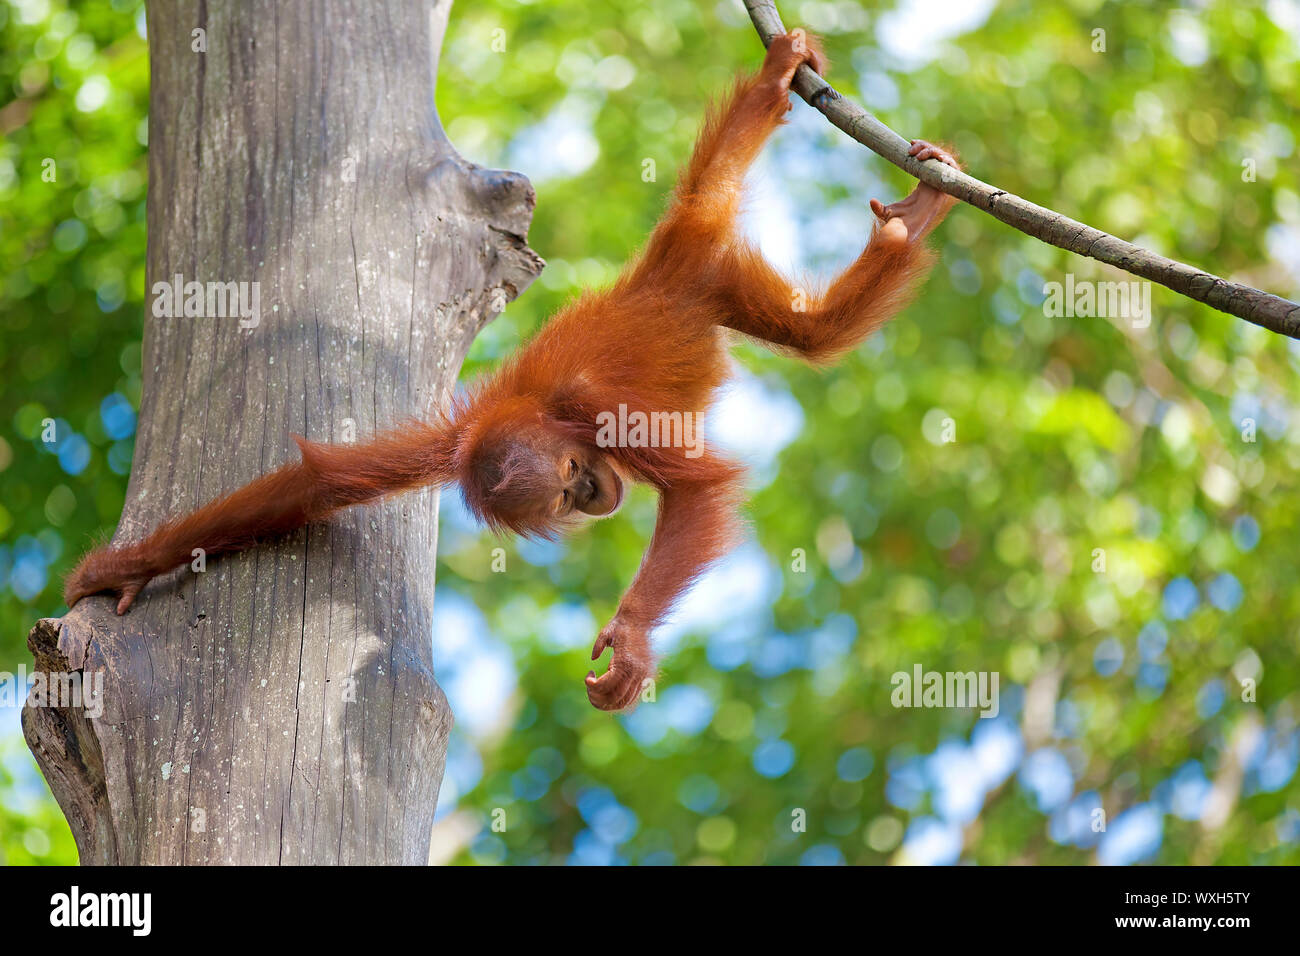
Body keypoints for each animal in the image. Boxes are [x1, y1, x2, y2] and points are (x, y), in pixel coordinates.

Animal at [65, 30, 961, 711]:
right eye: (566, 495)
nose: (595, 496)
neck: (546, 411)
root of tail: (654, 271)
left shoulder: (599, 411)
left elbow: (702, 489)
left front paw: (631, 641)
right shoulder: (452, 441)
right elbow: (320, 479)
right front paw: (121, 568)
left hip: (699, 244)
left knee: (762, 252)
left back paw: (823, 131)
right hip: (716, 279)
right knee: (811, 331)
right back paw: (909, 224)